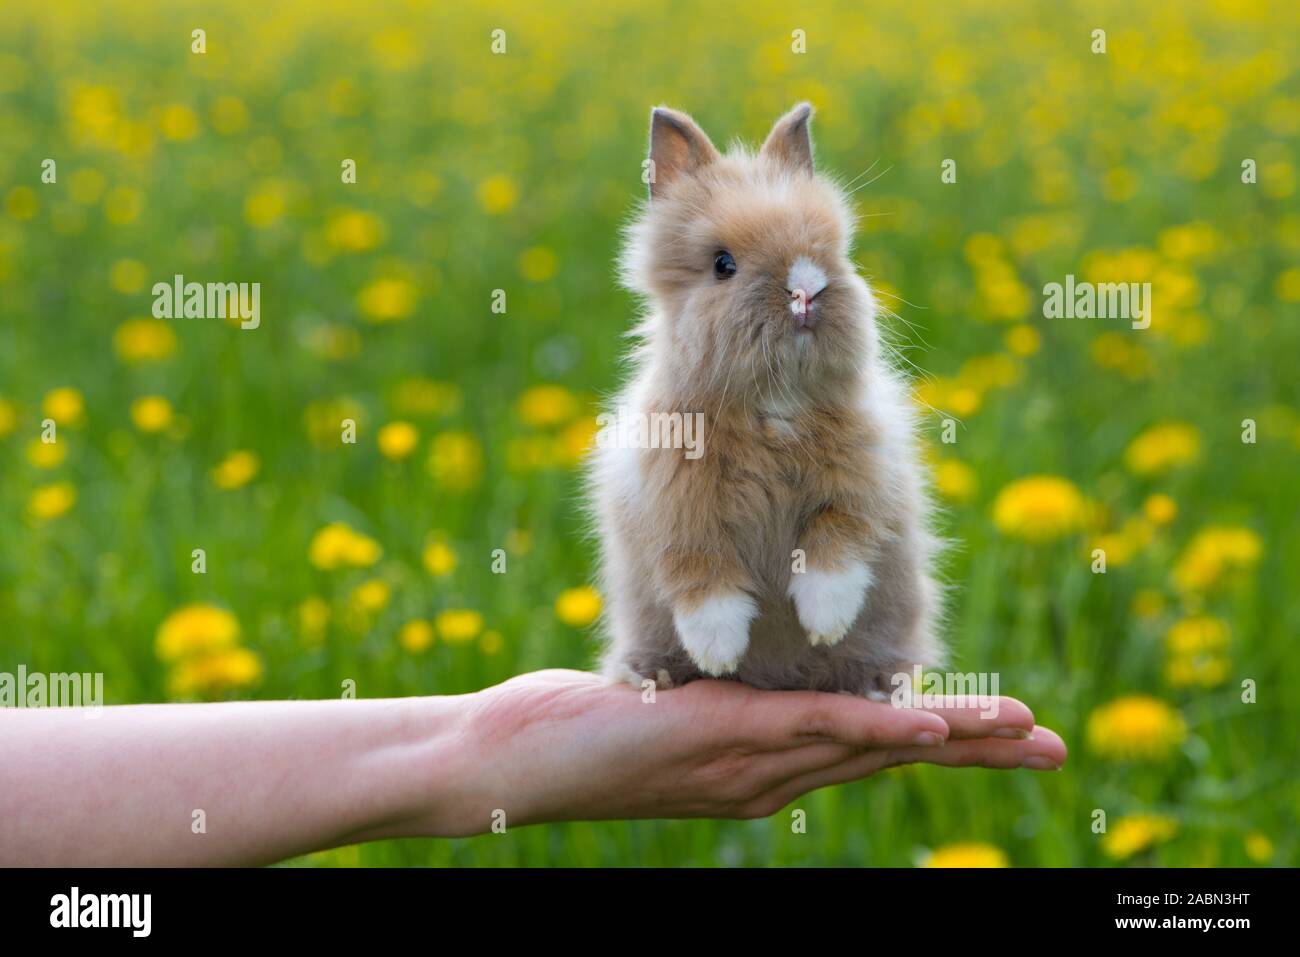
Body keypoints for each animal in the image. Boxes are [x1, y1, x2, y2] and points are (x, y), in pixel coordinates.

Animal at [589, 102, 944, 698]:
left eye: (832, 250)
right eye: (722, 264)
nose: (806, 290)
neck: (772, 405)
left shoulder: (859, 487)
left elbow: (835, 550)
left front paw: (826, 624)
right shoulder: (676, 510)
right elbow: (703, 580)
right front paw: (718, 655)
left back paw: (873, 683)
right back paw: (656, 674)